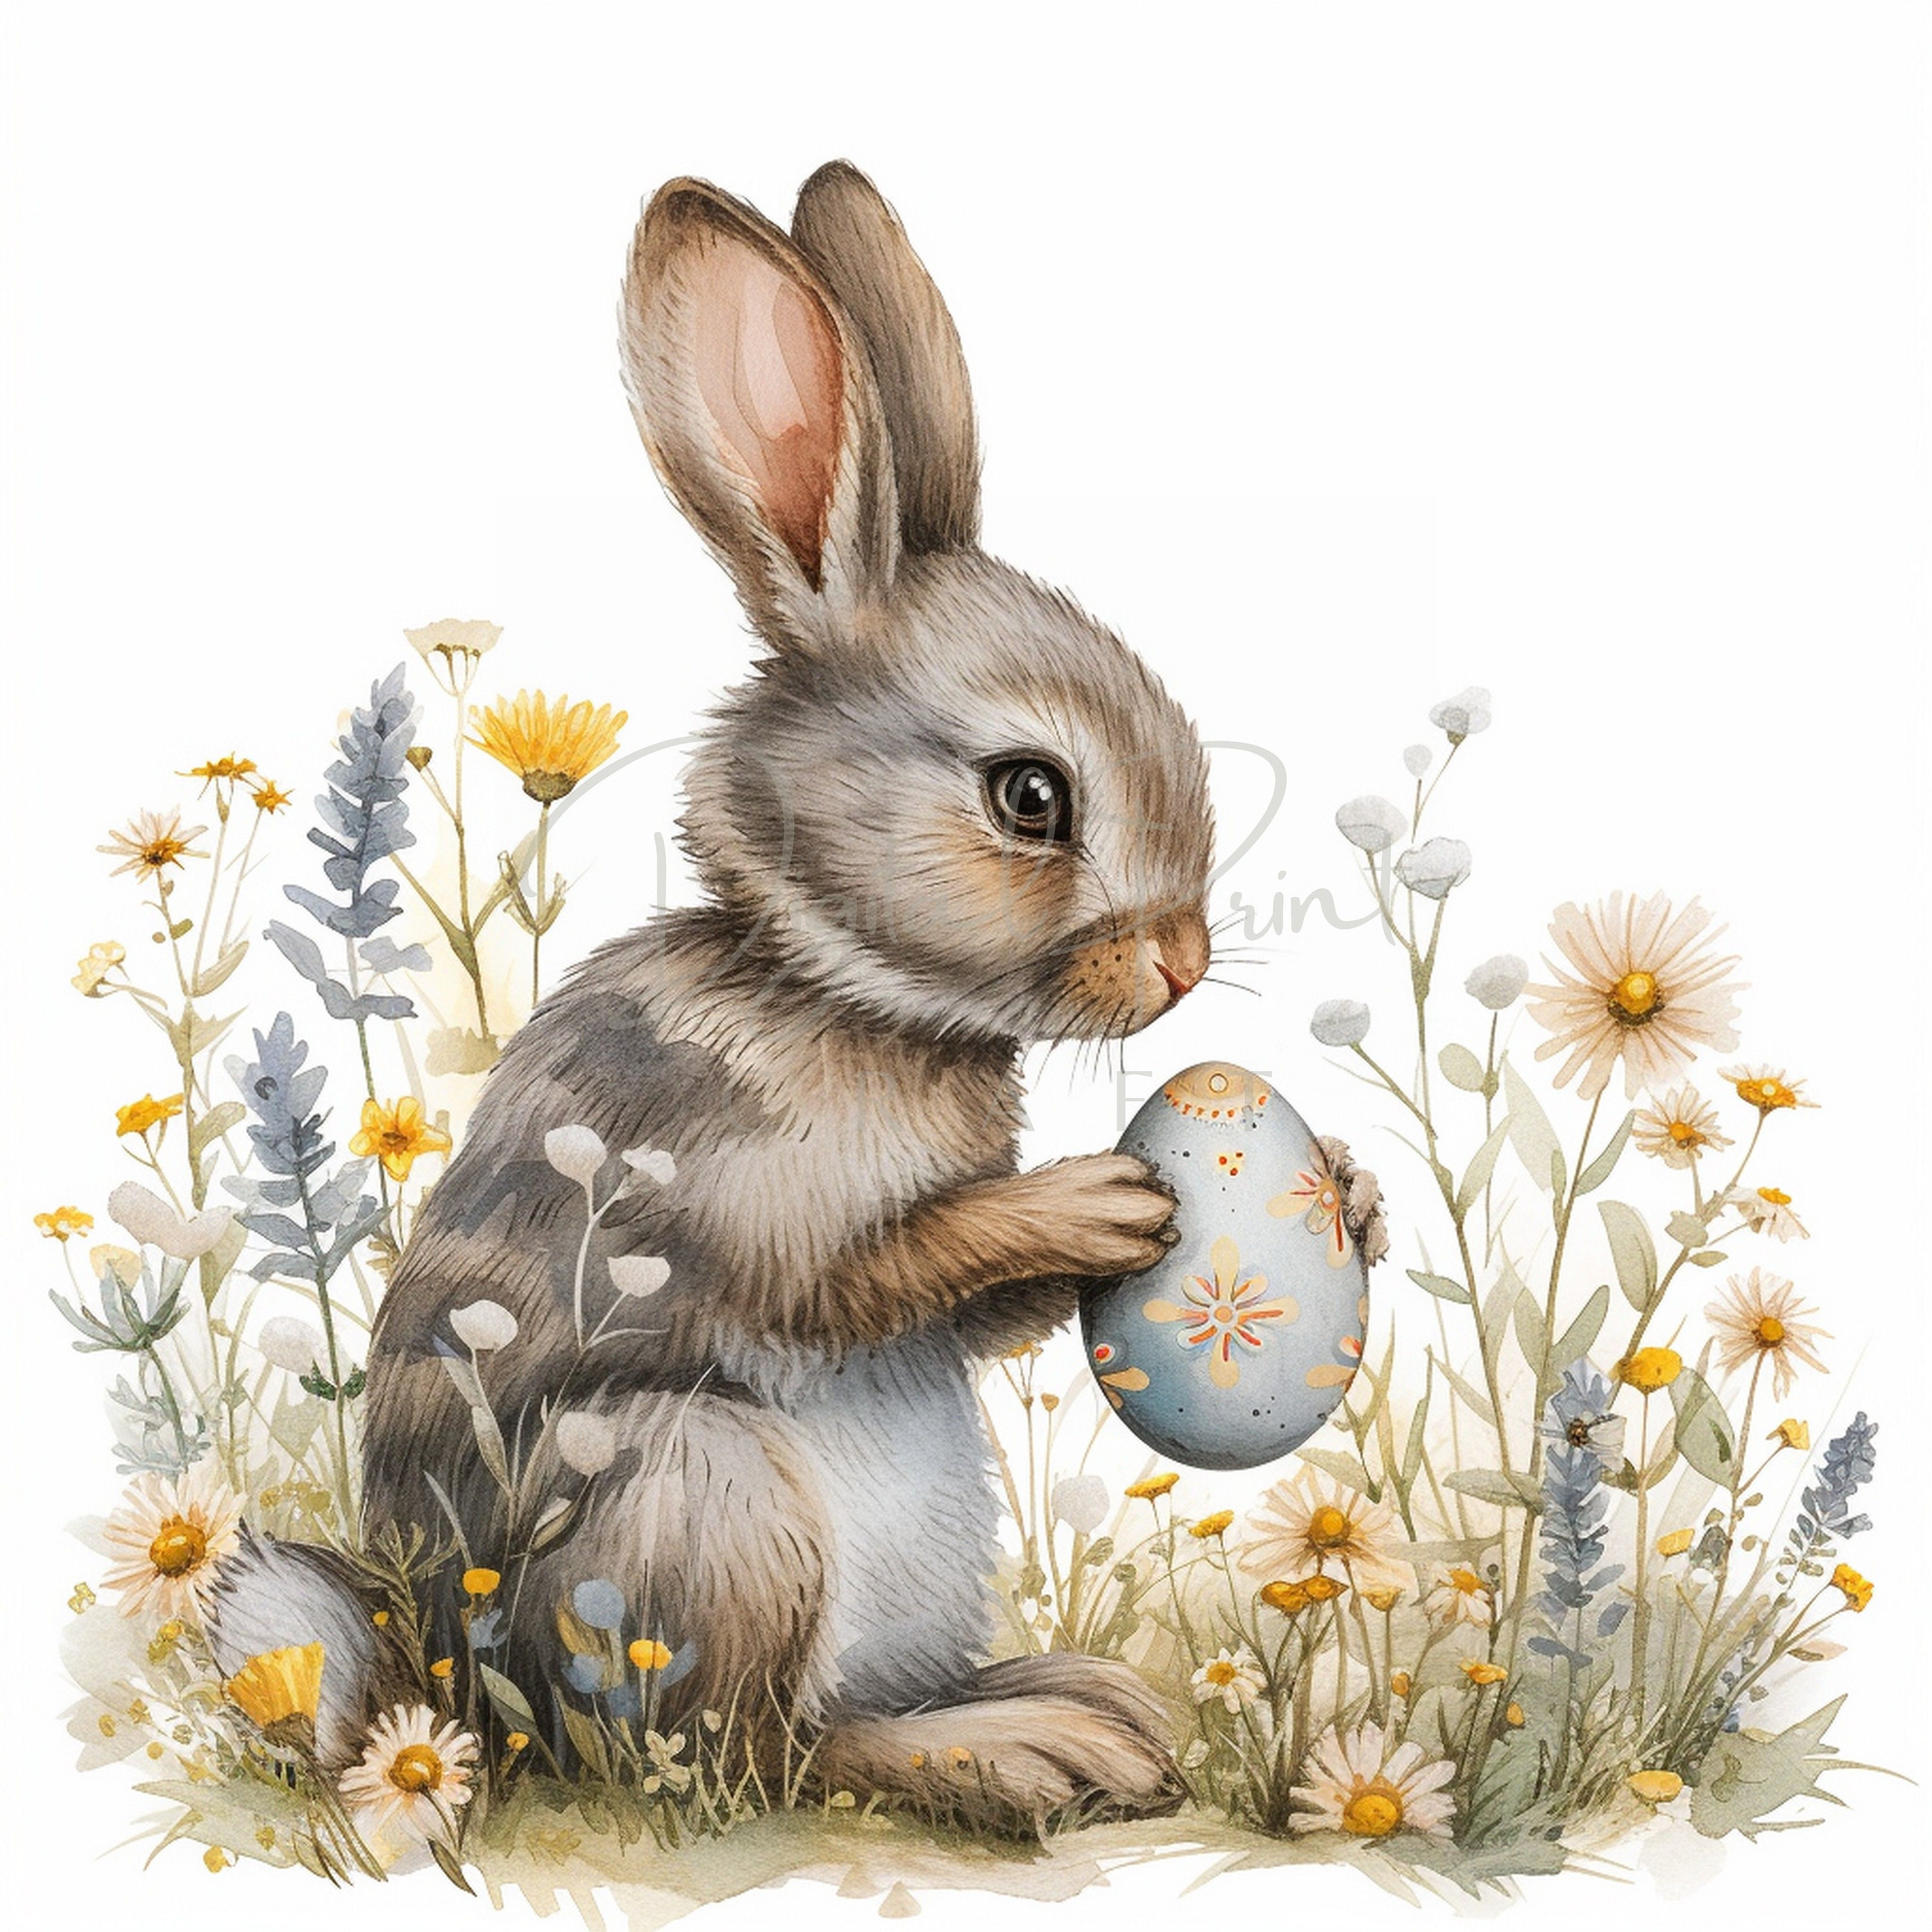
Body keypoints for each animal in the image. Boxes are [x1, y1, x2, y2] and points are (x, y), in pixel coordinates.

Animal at [211, 160, 1215, 1825]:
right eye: (1029, 797)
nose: (1184, 961)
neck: (831, 983)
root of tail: (456, 1695)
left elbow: (979, 1317)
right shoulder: (747, 1209)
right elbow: (869, 1271)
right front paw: (1095, 1201)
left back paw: (1081, 1705)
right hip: (706, 1491)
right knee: (755, 1756)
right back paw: (1016, 1747)